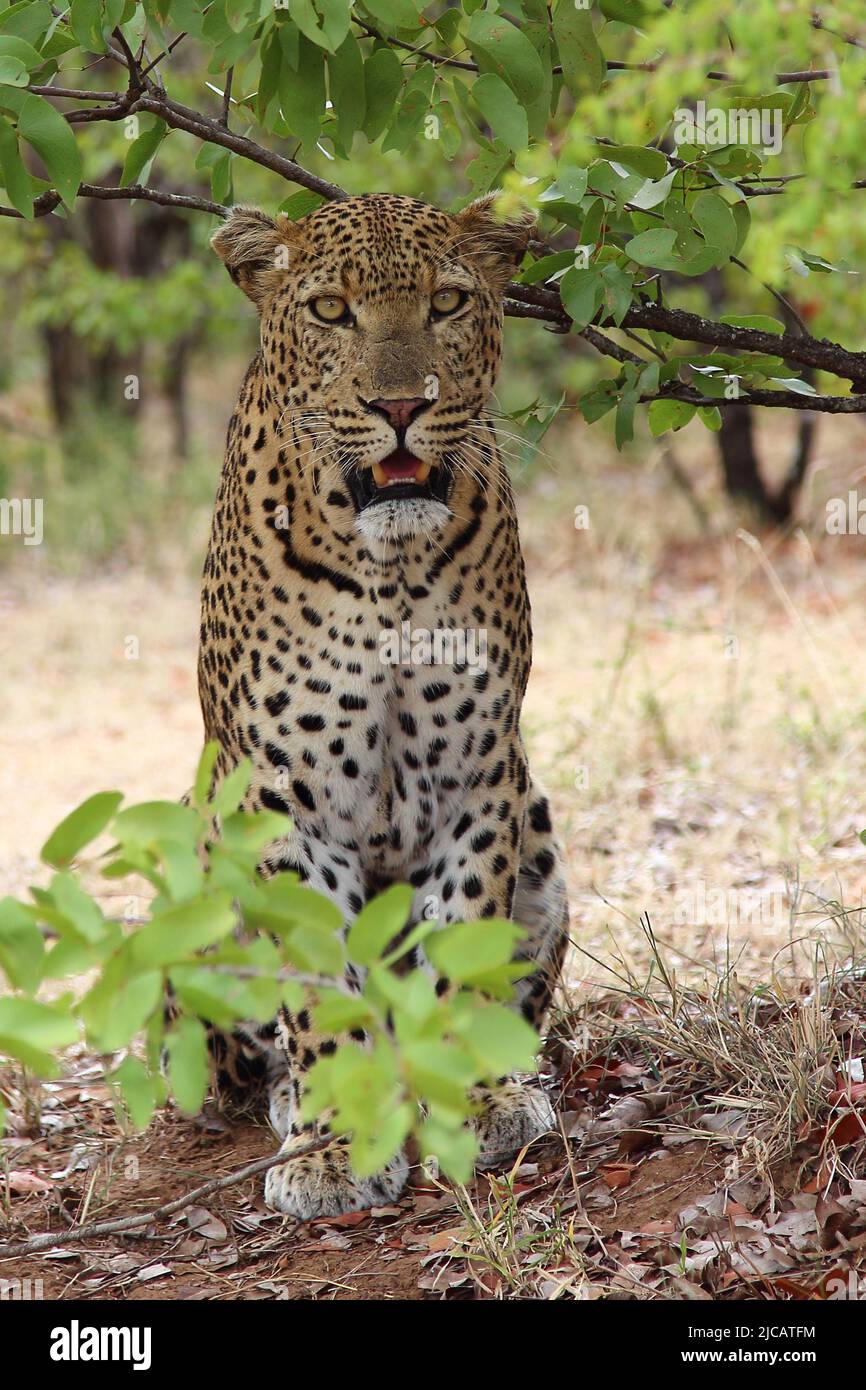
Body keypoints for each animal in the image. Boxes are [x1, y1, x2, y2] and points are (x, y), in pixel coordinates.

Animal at [199, 192, 569, 1220]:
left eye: (447, 301)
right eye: (331, 312)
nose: (401, 408)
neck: (390, 571)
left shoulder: (480, 774)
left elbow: (465, 939)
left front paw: (481, 1096)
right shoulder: (282, 797)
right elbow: (321, 989)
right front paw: (333, 1142)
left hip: (540, 821)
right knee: (249, 1059)